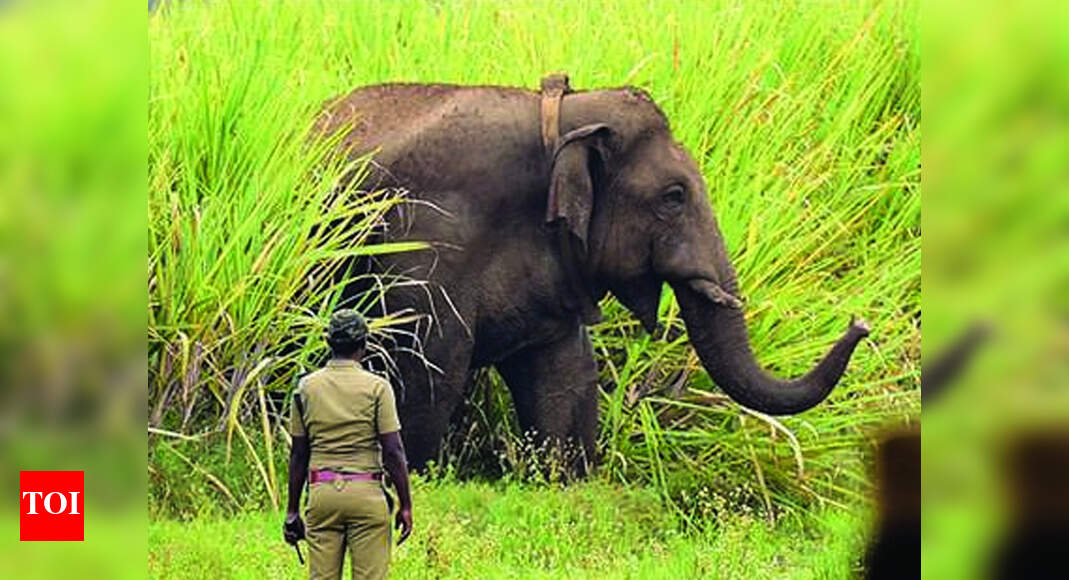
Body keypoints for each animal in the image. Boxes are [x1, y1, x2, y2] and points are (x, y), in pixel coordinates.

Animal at [313, 74, 870, 473]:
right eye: (674, 197)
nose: (859, 323)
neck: (563, 118)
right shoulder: (427, 243)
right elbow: (424, 374)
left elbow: (564, 379)